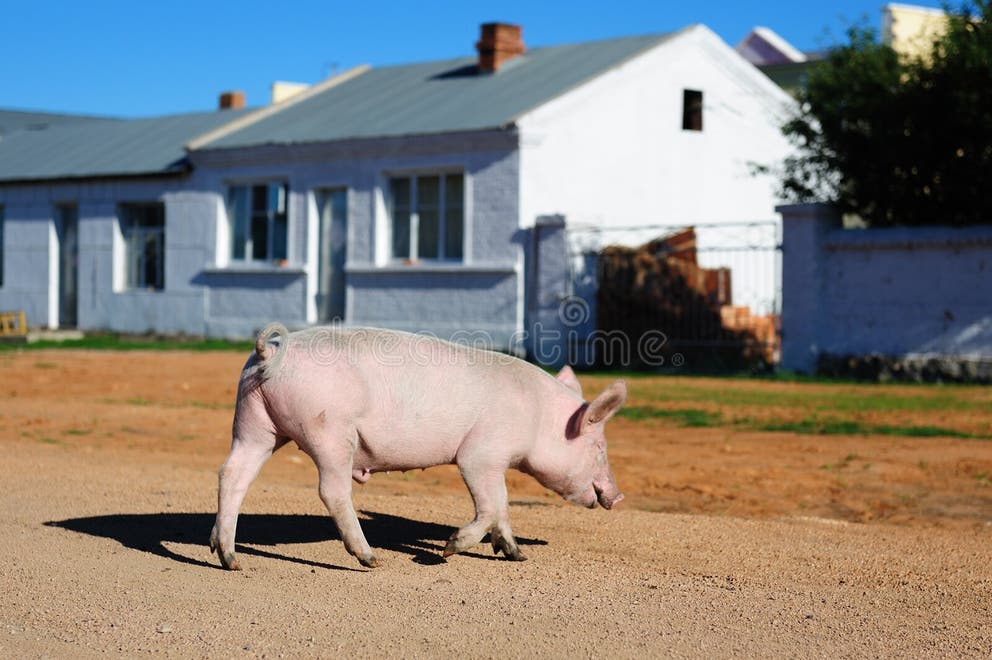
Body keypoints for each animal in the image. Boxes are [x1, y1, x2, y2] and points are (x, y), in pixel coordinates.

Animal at [209, 322, 626, 570]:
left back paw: (228, 558)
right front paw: (447, 550)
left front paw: (517, 556)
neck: (538, 417)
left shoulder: (496, 464)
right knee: (332, 490)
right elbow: (491, 506)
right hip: (328, 431)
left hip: (253, 422)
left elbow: (503, 505)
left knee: (233, 474)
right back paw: (371, 559)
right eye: (600, 448)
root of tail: (271, 351)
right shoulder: (480, 455)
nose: (618, 496)